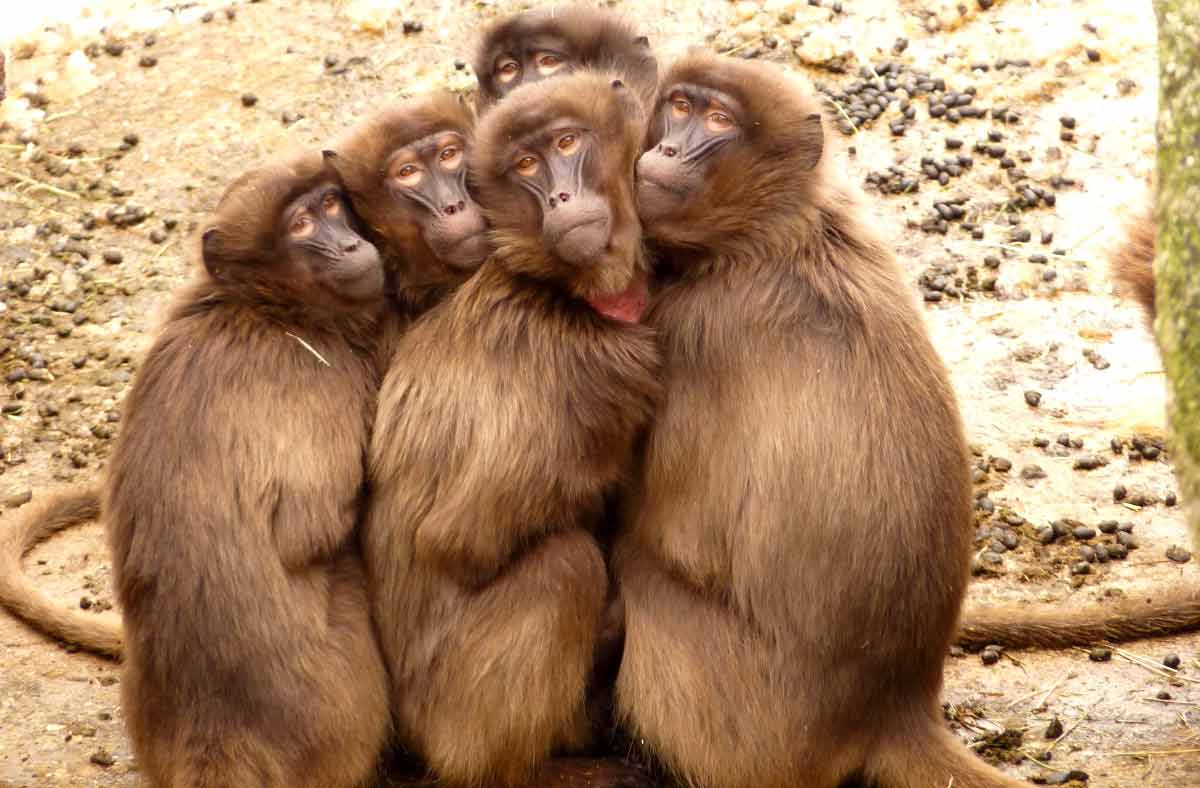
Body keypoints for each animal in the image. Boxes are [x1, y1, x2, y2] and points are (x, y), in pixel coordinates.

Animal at [103, 150, 390, 788]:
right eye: (301, 226)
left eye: (331, 204)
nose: (349, 243)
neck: (261, 307)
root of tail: (219, 732)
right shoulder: (321, 376)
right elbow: (312, 527)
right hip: (335, 704)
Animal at [362, 72, 659, 788]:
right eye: (526, 165)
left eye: (567, 143)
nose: (559, 194)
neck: (562, 290)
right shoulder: (588, 374)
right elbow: (459, 541)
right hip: (456, 714)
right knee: (565, 567)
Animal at [613, 51, 1033, 788]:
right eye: (680, 107)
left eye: (717, 121)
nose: (666, 149)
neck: (773, 234)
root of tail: (894, 703)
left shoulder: (691, 328)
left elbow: (664, 530)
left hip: (751, 723)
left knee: (634, 570)